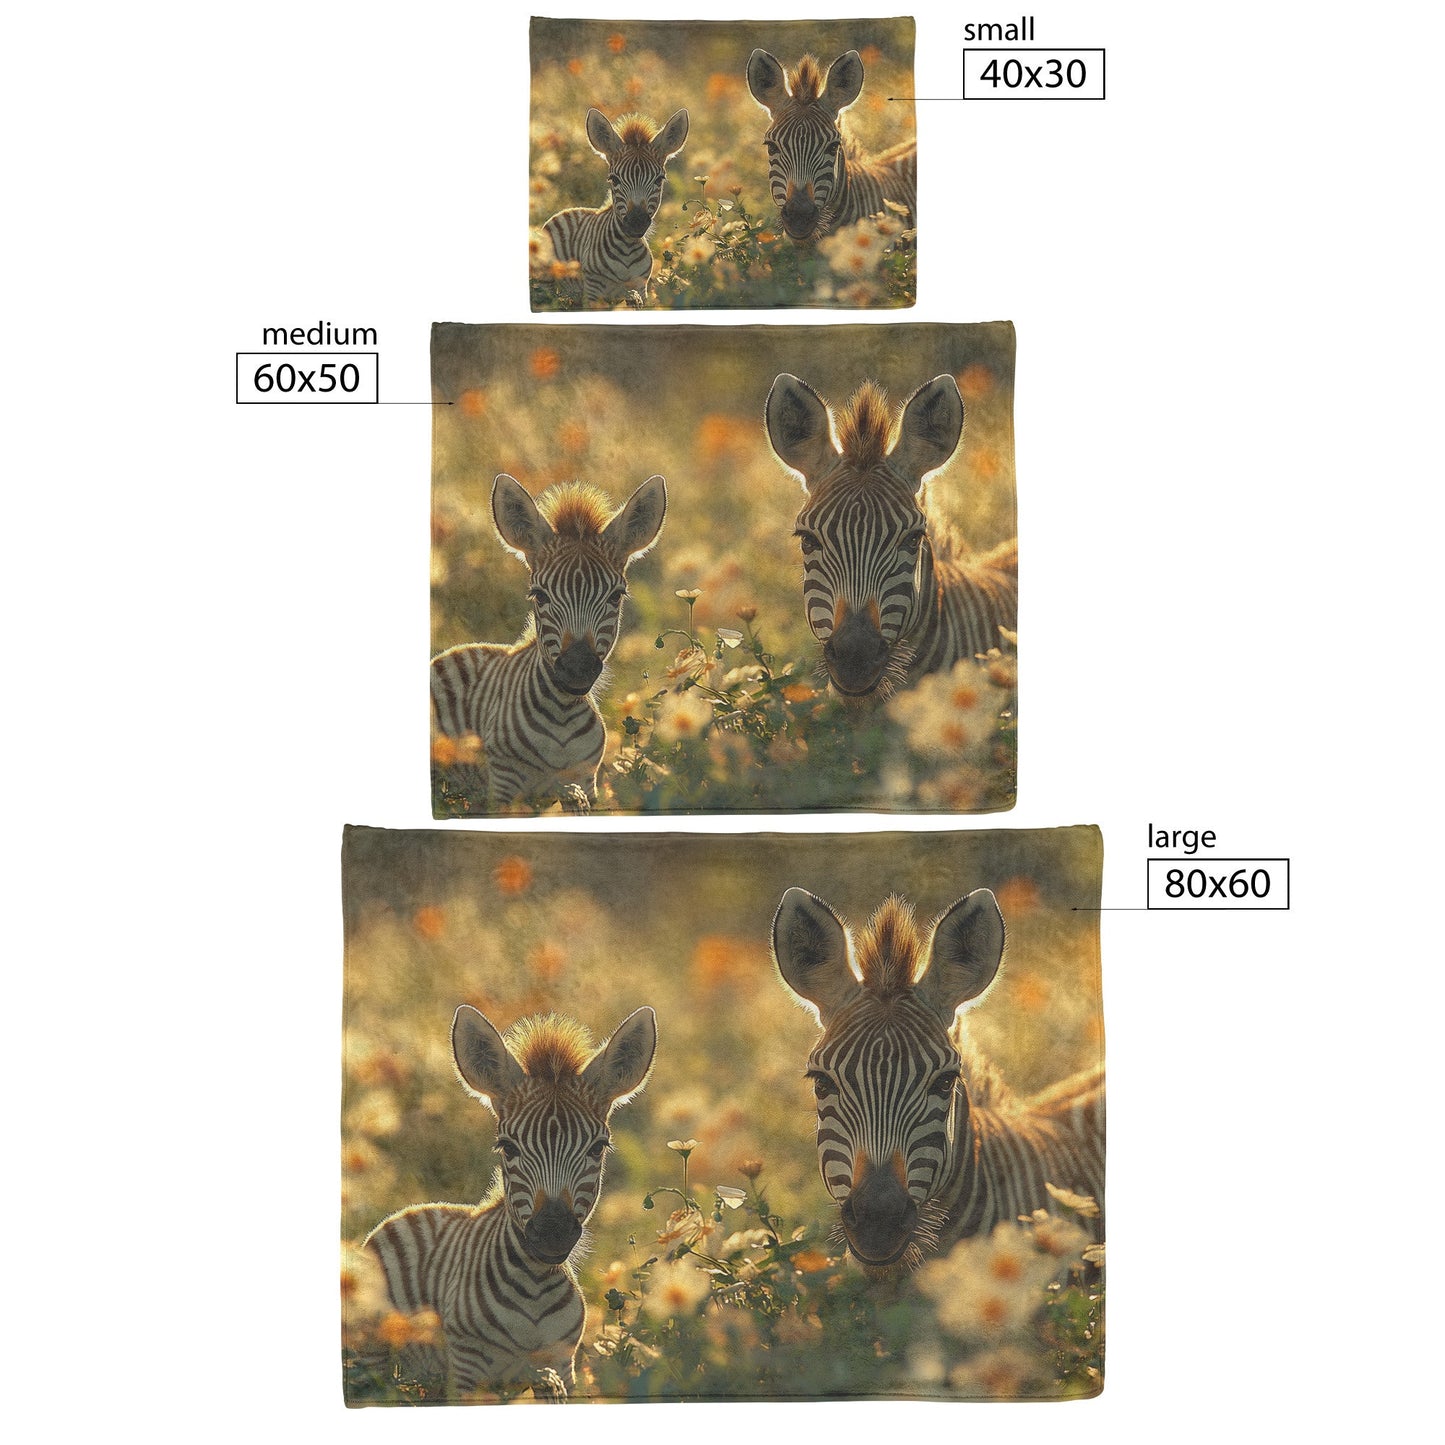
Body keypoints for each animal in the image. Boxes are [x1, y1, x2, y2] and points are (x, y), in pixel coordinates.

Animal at [363, 1005, 658, 1401]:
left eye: (598, 1148)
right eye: (507, 1147)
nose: (552, 1233)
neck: (534, 1286)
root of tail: (407, 1211)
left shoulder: (559, 1367)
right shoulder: (467, 1372)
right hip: (373, 1358)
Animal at [431, 473, 666, 813]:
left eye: (616, 596)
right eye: (539, 596)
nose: (578, 668)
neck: (562, 715)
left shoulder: (582, 785)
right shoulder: (503, 788)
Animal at [543, 108, 689, 307]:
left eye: (659, 180)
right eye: (614, 179)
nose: (636, 222)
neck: (627, 250)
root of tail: (566, 210)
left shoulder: (639, 290)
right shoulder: (593, 292)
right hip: (546, 281)